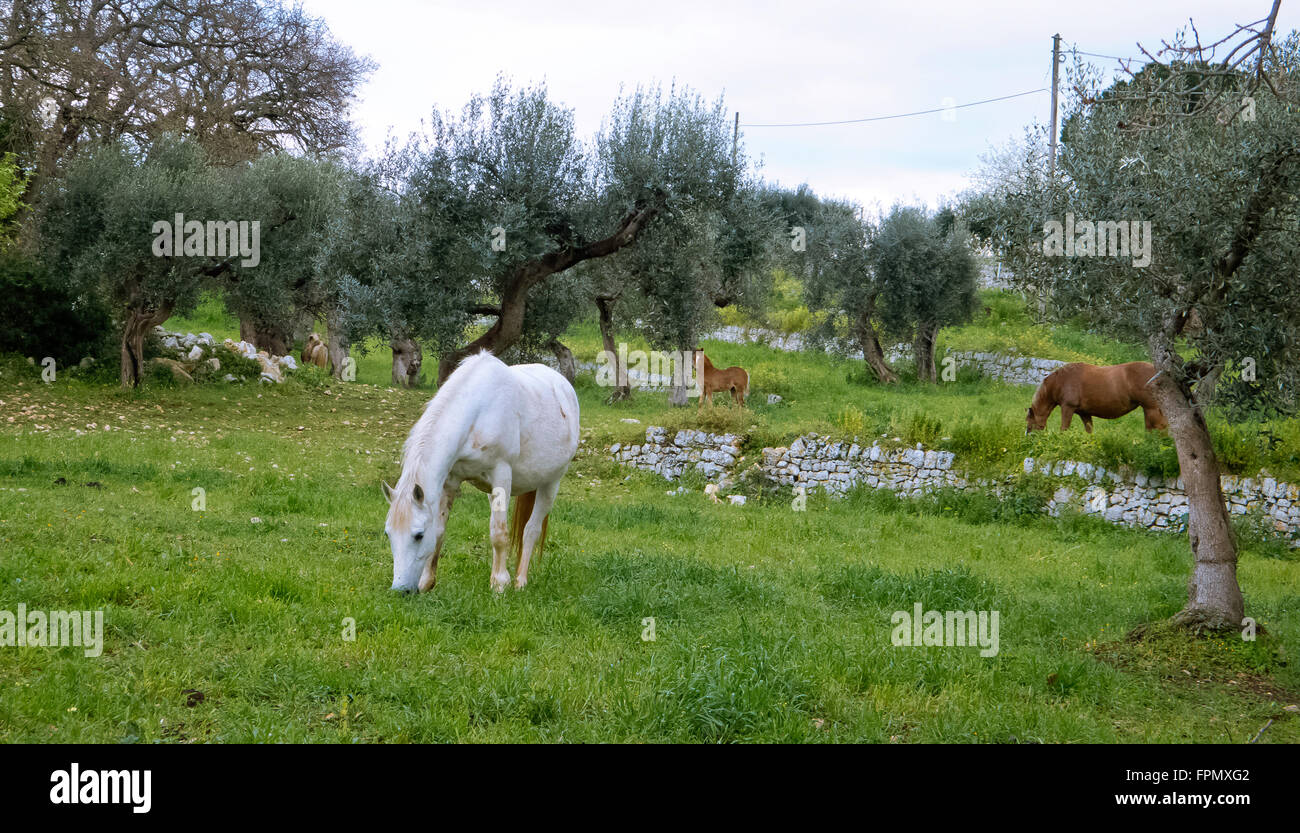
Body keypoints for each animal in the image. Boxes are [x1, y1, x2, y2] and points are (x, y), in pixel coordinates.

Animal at [384, 351, 580, 593]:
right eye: (388, 534)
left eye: (418, 535)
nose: (400, 590)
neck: (478, 412)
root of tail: (563, 384)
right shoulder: (450, 481)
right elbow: (439, 531)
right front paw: (427, 582)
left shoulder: (501, 474)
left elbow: (499, 533)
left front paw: (499, 584)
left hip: (551, 483)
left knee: (531, 531)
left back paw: (520, 582)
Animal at [1026, 361, 1168, 434]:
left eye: (1029, 424)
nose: (1030, 440)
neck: (1062, 380)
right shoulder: (1084, 414)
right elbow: (1089, 431)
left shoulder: (1067, 408)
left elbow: (1064, 429)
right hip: (1148, 409)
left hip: (1152, 409)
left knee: (1161, 427)